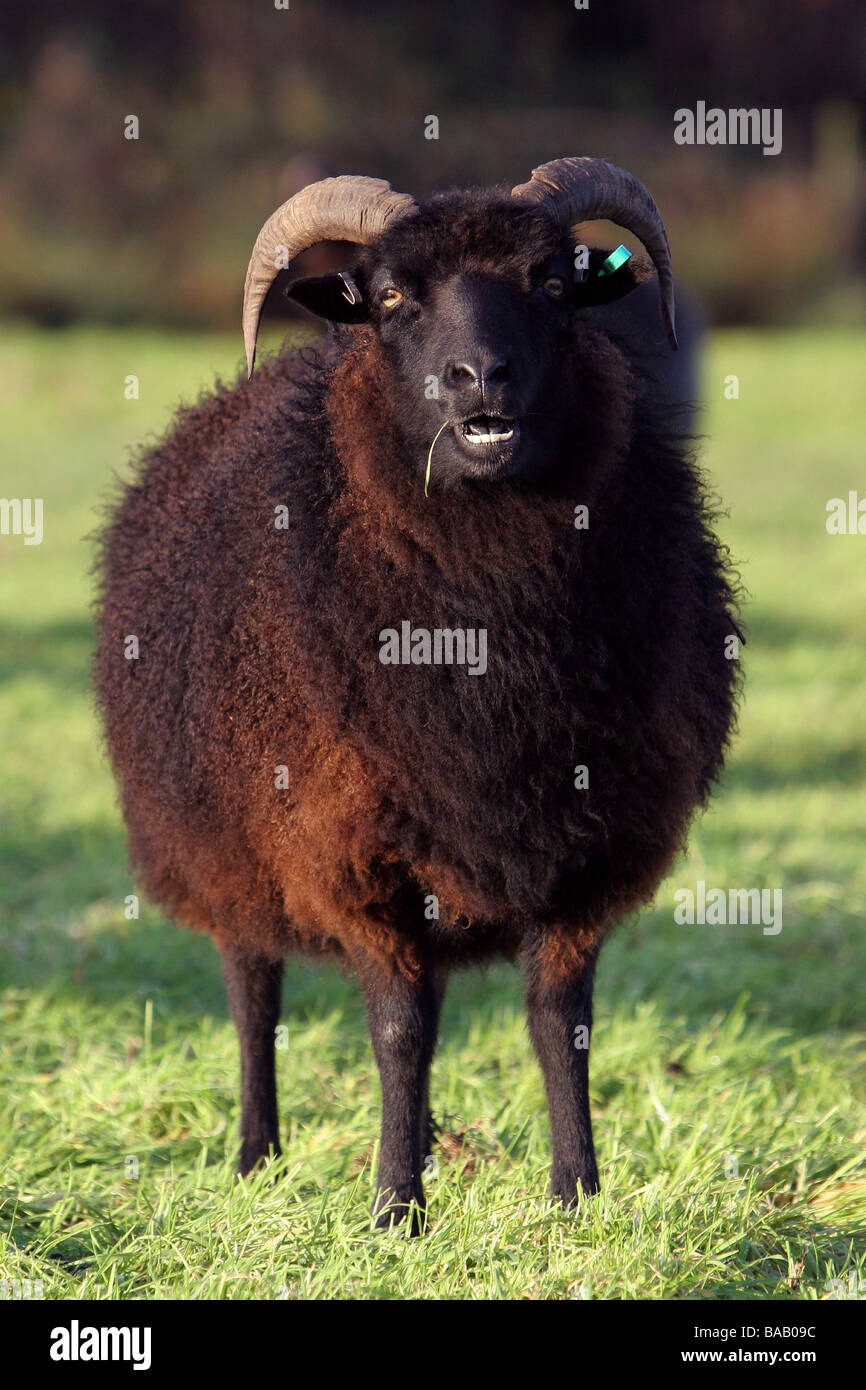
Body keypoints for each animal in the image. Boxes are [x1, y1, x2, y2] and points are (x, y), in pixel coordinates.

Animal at [94, 157, 741, 1231]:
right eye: (392, 297)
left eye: (553, 283)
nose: (479, 377)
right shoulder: (351, 851)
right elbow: (397, 1034)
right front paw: (395, 1209)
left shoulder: (588, 850)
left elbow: (560, 1026)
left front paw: (576, 1196)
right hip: (224, 846)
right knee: (253, 992)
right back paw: (257, 1157)